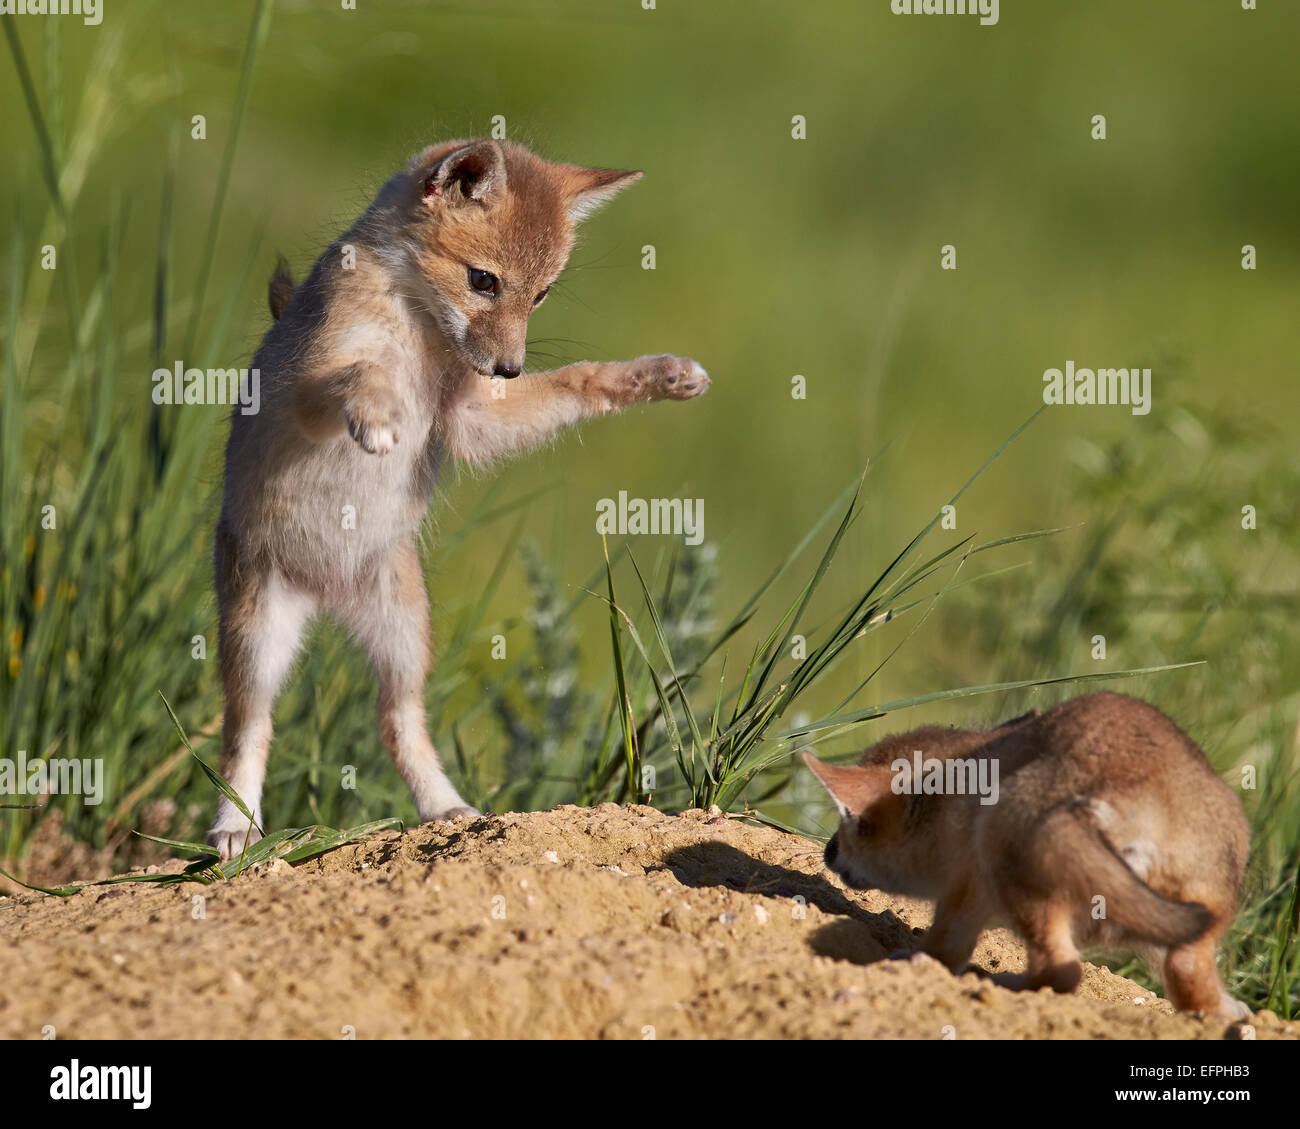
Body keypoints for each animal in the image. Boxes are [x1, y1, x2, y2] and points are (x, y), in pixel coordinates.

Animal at [208, 139, 709, 860]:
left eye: (541, 293)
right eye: (483, 281)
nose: (509, 368)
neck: (415, 333)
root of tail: (325, 595)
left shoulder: (473, 419)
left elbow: (579, 380)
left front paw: (657, 375)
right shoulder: (299, 392)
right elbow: (361, 372)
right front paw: (379, 410)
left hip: (402, 639)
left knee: (395, 724)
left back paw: (446, 809)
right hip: (257, 643)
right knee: (247, 731)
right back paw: (235, 828)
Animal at [802, 692, 1252, 1021]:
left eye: (852, 825)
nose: (827, 852)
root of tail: (1135, 796)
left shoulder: (963, 891)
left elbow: (946, 948)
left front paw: (919, 963)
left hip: (1011, 860)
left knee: (1062, 971)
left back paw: (1001, 986)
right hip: (1186, 930)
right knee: (1193, 983)